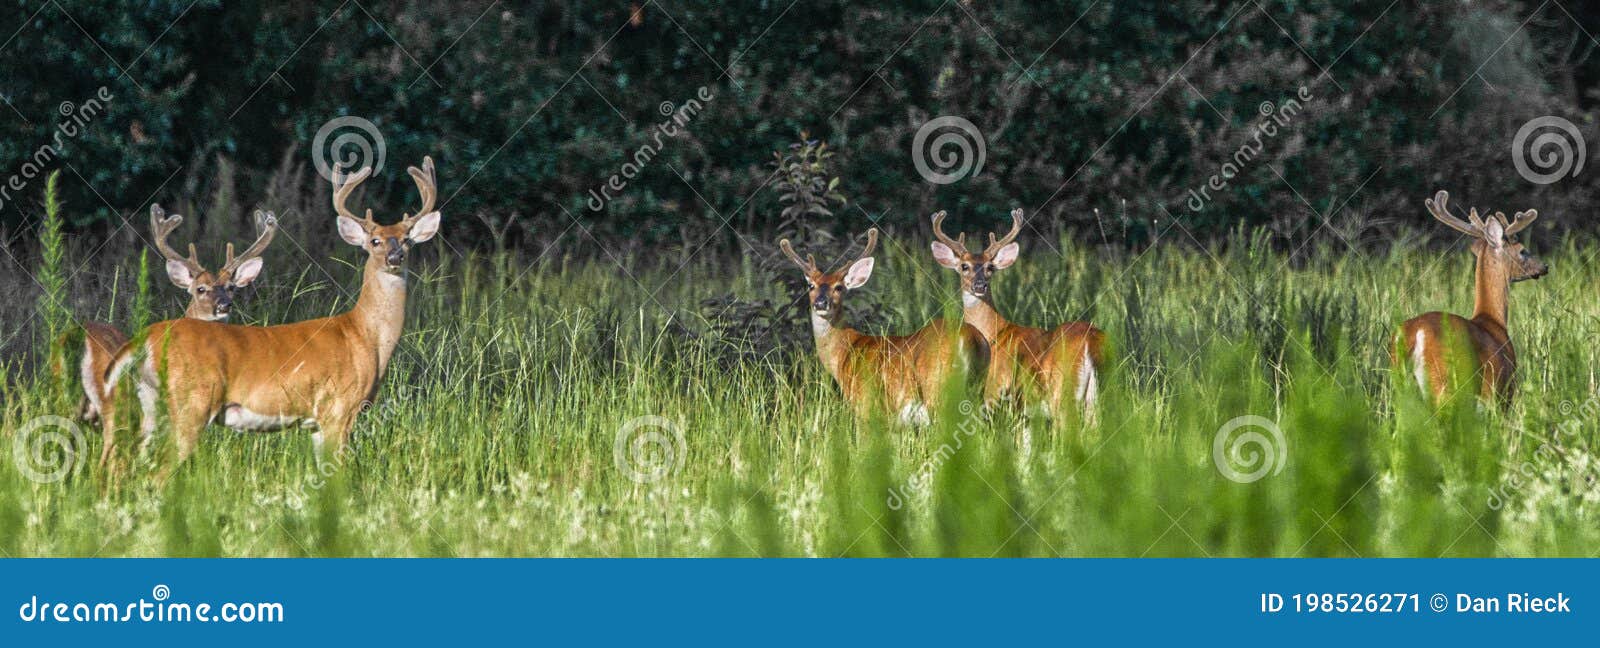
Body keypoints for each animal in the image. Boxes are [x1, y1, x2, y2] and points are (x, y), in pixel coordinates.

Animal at [101, 157, 442, 466]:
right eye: (374, 241)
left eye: (408, 240)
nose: (395, 257)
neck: (365, 336)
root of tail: (148, 336)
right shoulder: (339, 408)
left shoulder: (317, 424)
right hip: (191, 402)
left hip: (150, 402)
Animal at [778, 228, 990, 424]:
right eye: (811, 286)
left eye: (839, 287)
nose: (821, 303)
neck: (845, 351)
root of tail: (968, 338)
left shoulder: (865, 404)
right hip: (978, 387)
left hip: (937, 387)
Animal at [929, 208, 1105, 422]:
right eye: (964, 266)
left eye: (990, 267)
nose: (979, 286)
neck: (993, 334)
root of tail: (1090, 342)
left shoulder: (995, 390)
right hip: (1097, 396)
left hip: (1062, 392)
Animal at [1395, 190, 1546, 407]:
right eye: (1522, 251)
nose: (1544, 266)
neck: (1493, 321)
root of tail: (1418, 333)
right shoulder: (1500, 392)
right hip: (1446, 384)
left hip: (1399, 384)